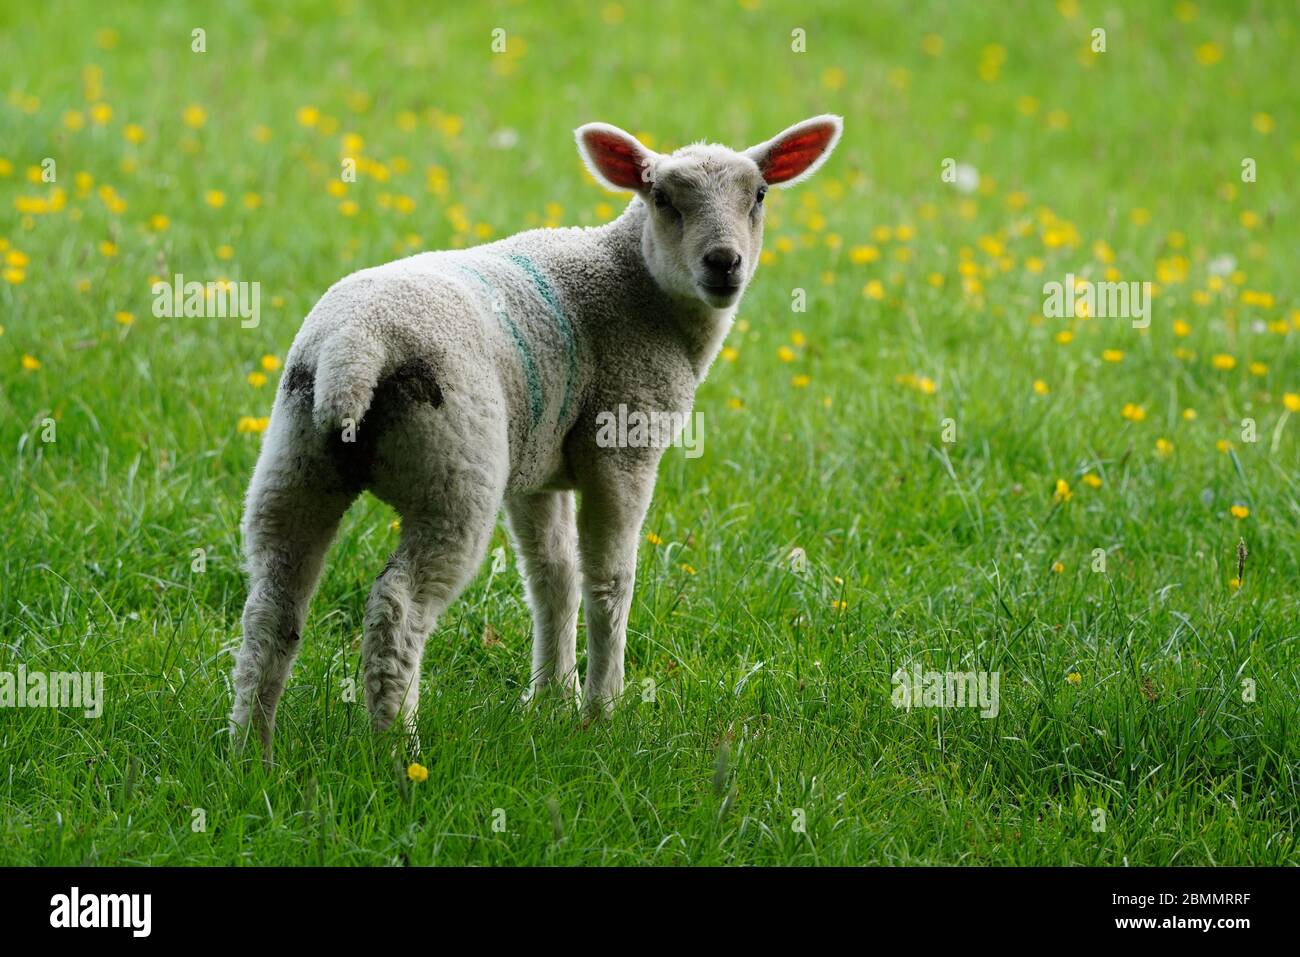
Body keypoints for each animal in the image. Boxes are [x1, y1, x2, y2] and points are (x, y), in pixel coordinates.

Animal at [229, 114, 844, 759]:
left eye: (760, 195)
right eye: (663, 199)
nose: (725, 262)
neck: (639, 289)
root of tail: (355, 348)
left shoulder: (536, 465)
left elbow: (554, 578)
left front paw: (551, 699)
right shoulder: (623, 438)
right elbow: (609, 580)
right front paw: (601, 711)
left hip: (294, 460)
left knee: (273, 602)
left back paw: (252, 751)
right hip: (455, 473)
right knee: (397, 607)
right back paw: (397, 748)